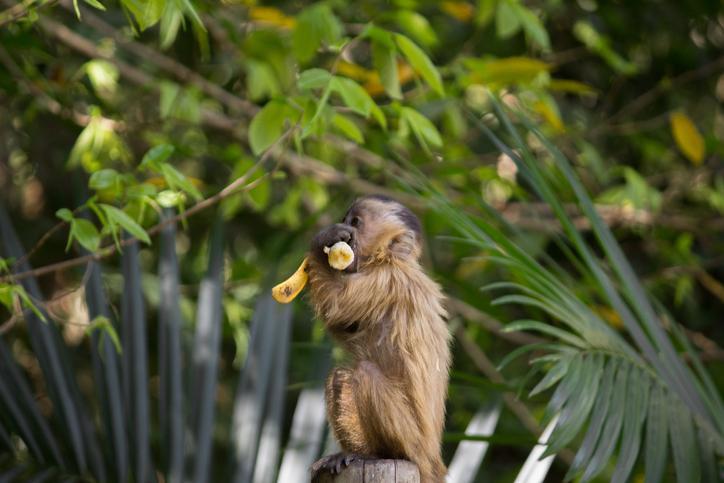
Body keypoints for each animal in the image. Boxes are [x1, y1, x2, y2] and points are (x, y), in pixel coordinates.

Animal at [305, 195, 451, 483]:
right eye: (348, 220)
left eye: (355, 223)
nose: (346, 231)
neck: (389, 259)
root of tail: (432, 463)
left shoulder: (387, 279)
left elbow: (335, 303)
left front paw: (321, 241)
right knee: (341, 376)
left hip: (414, 444)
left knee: (366, 372)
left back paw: (378, 454)